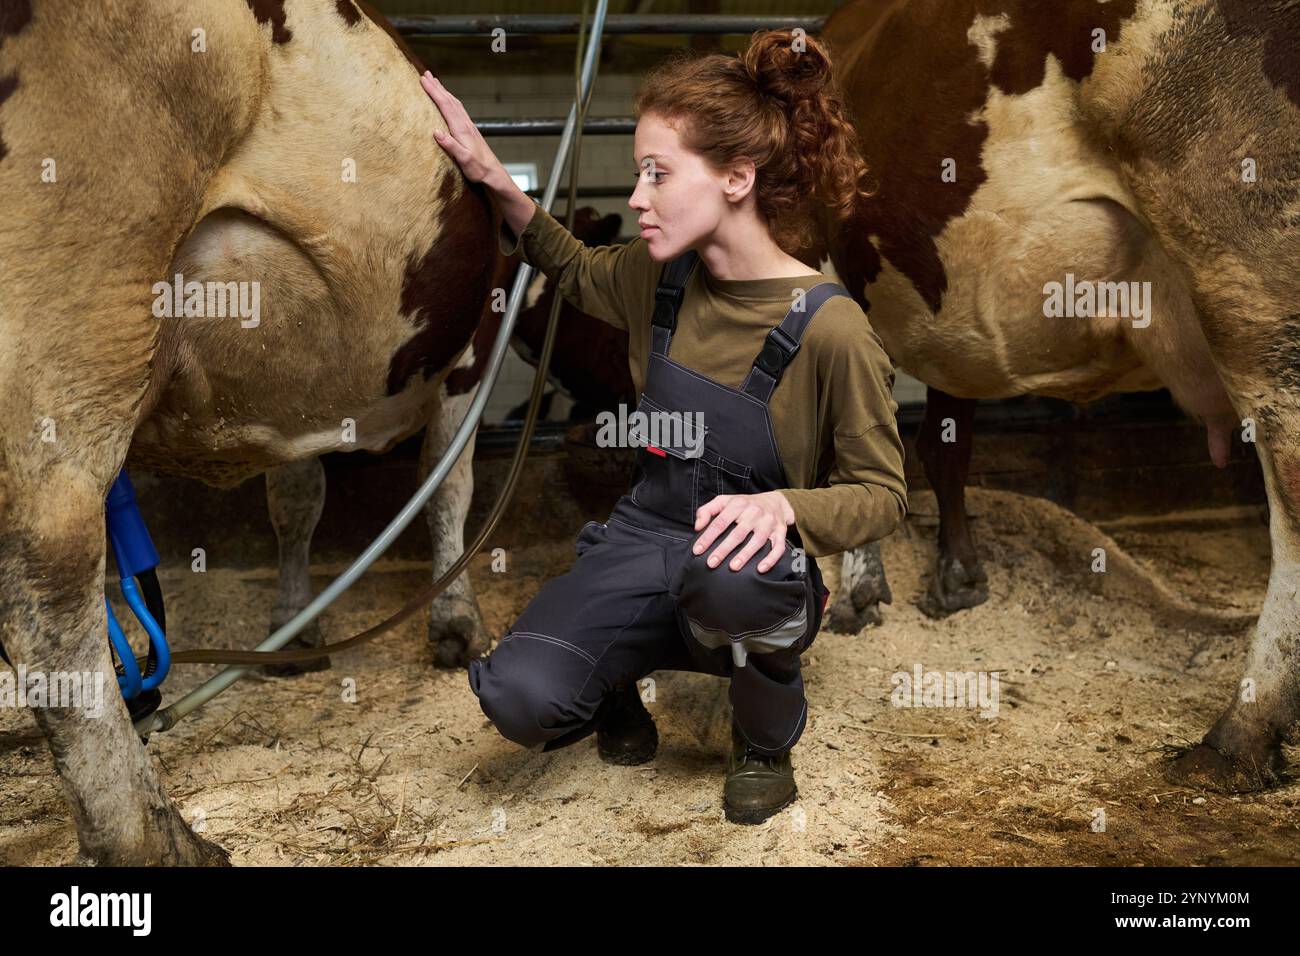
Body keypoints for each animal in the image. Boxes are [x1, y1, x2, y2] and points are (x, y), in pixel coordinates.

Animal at [0, 0, 503, 864]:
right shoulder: (470, 356)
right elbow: (448, 485)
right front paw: (456, 624)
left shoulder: (290, 409)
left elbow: (296, 499)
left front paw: (290, 628)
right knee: (50, 579)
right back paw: (155, 840)